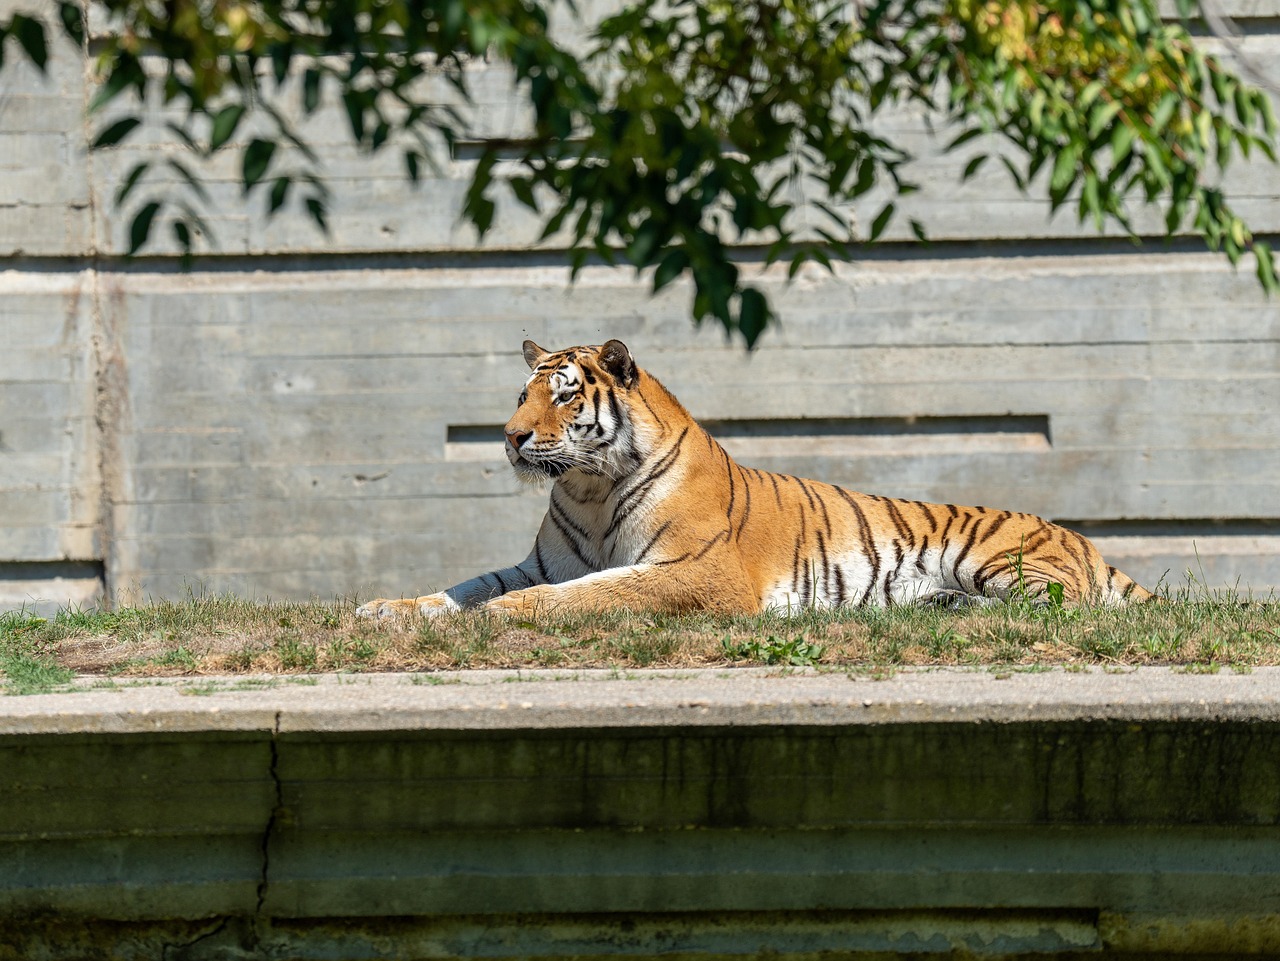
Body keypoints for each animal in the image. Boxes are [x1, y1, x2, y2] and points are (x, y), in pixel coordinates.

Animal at [357, 339, 1153, 619]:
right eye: (521, 394)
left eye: (564, 395)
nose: (512, 436)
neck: (588, 486)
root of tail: (1083, 538)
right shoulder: (541, 560)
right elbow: (466, 584)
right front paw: (390, 608)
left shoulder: (696, 568)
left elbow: (595, 590)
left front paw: (505, 615)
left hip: (1005, 562)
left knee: (1065, 608)